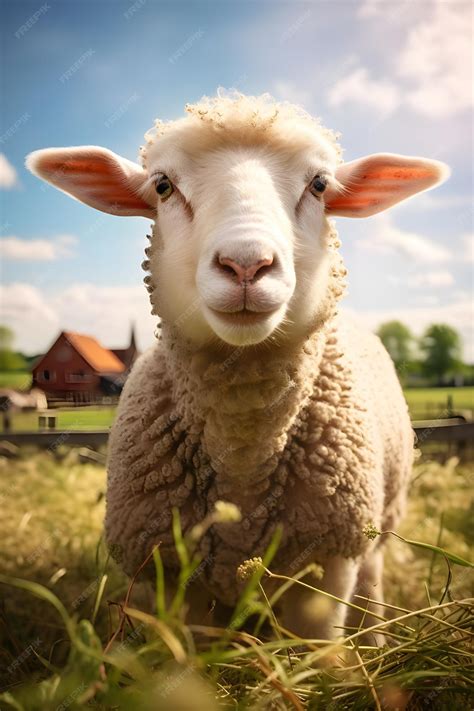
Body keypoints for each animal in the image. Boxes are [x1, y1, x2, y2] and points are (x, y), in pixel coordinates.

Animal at [26, 92, 449, 640]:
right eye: (163, 186)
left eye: (319, 185)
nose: (246, 264)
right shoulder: (170, 575)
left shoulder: (330, 564)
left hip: (378, 524)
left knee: (373, 583)